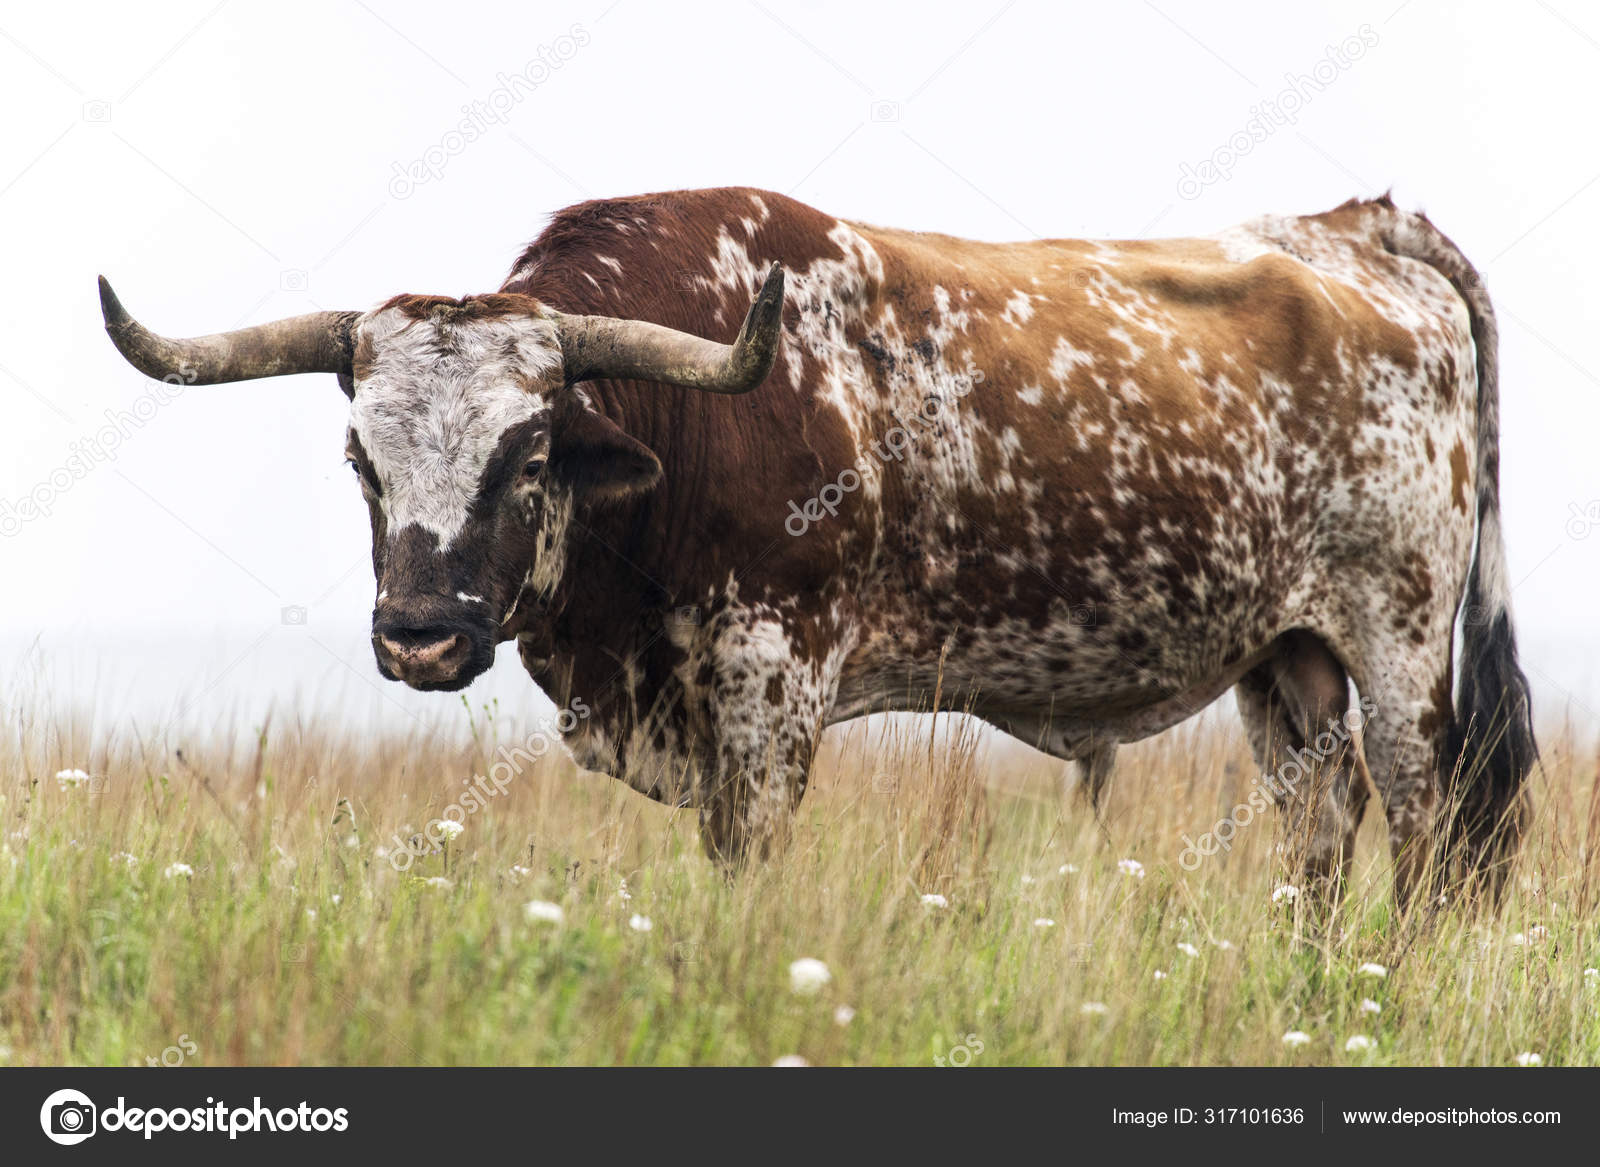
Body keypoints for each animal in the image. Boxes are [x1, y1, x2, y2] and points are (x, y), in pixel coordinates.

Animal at [99, 187, 1536, 908]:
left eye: (529, 453)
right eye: (362, 458)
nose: (422, 636)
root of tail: (1350, 227)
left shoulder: (771, 684)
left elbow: (750, 861)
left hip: (1401, 646)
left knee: (1420, 828)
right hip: (1283, 658)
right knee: (1319, 828)